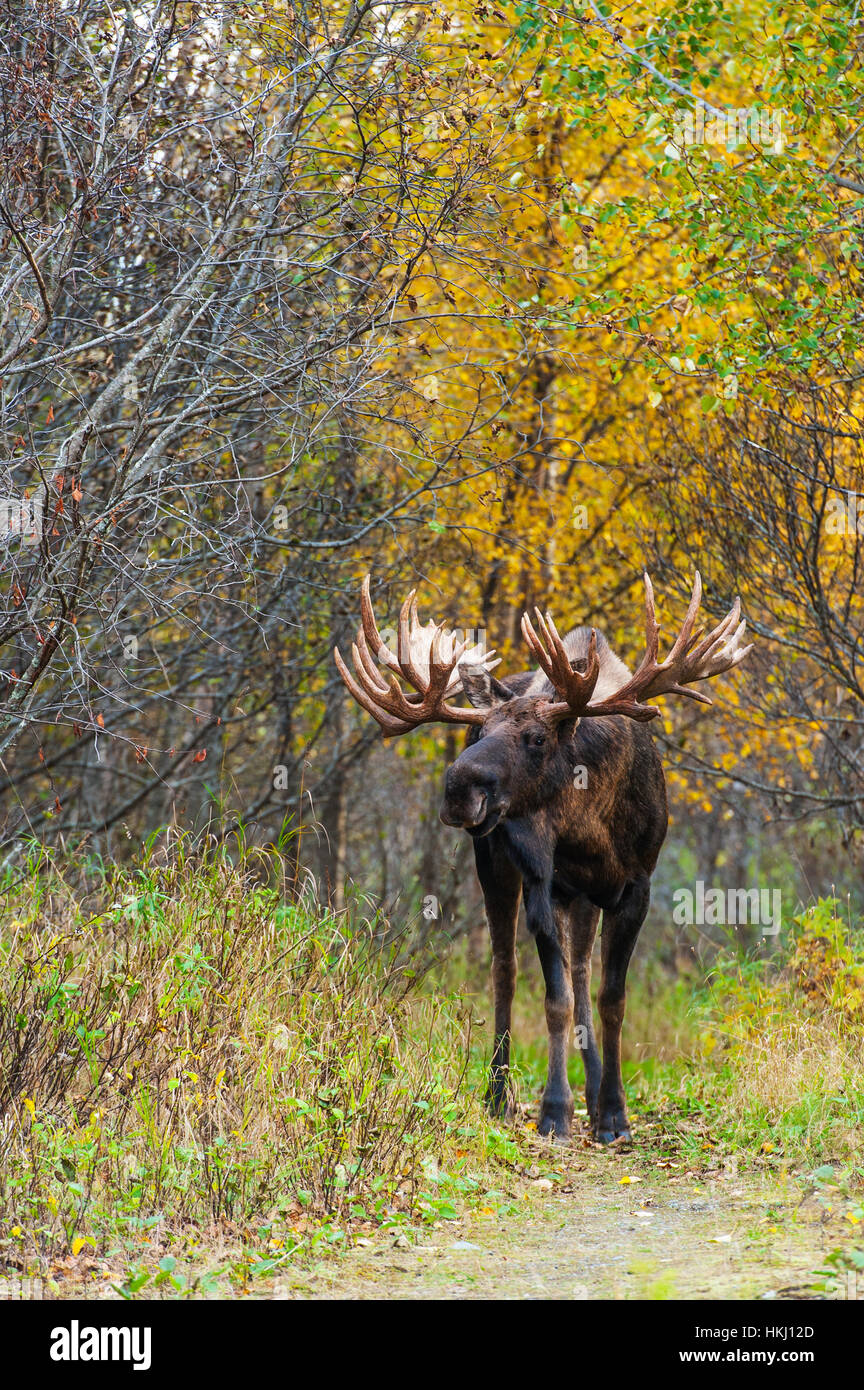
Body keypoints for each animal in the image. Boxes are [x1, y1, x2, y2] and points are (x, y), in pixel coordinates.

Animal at [334, 573, 752, 1144]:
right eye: (481, 733)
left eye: (535, 738)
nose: (457, 788)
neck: (592, 830)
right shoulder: (543, 883)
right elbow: (556, 1001)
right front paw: (555, 1110)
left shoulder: (636, 886)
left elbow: (610, 998)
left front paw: (614, 1112)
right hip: (496, 865)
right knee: (506, 970)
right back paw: (499, 1095)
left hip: (587, 897)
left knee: (581, 971)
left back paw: (594, 1094)